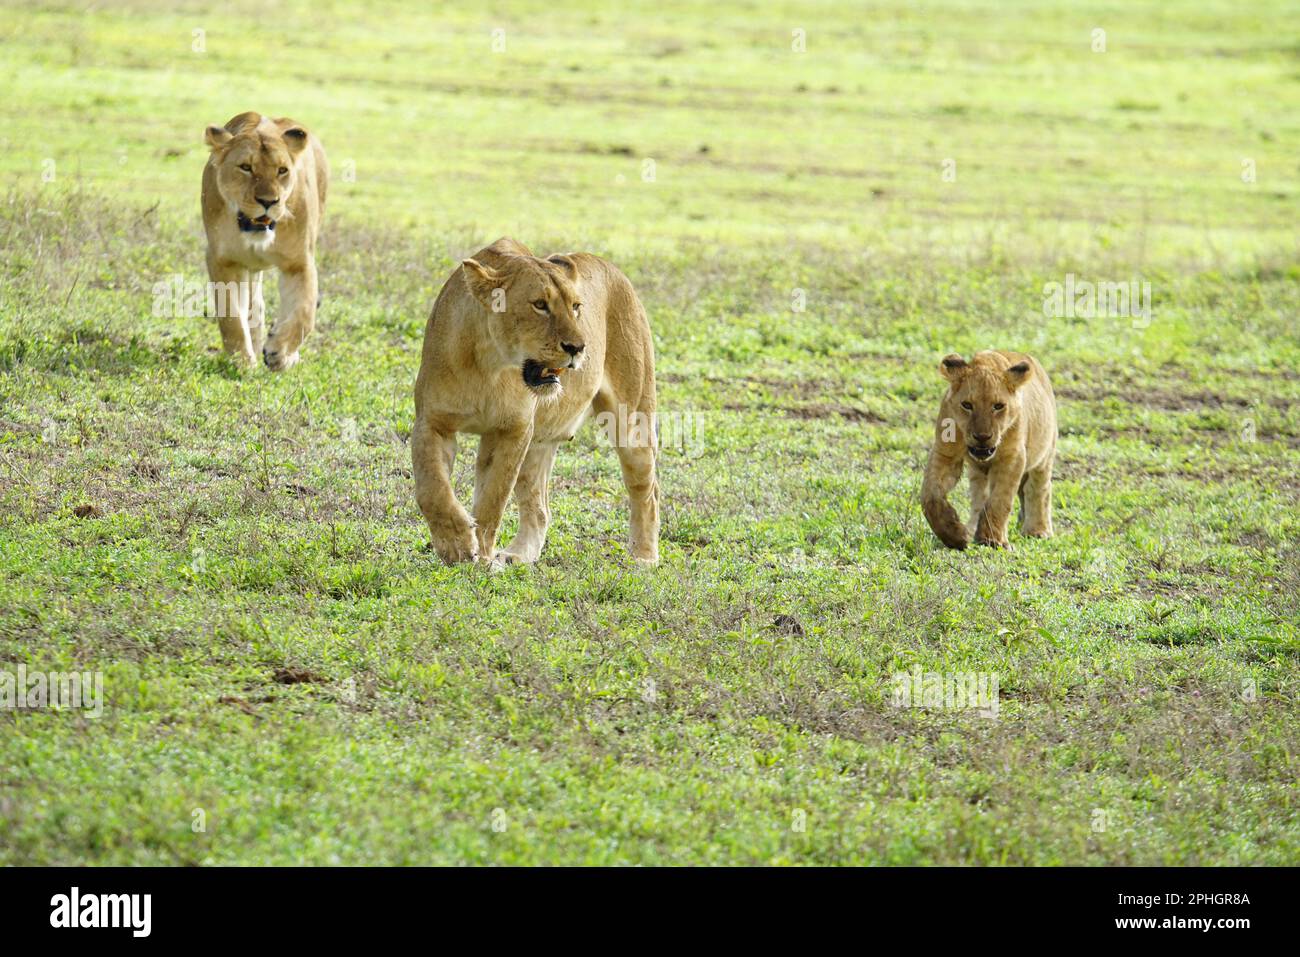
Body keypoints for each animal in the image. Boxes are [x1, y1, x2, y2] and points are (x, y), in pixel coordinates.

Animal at [201, 111, 328, 370]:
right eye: (246, 167)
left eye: (282, 170)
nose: (269, 201)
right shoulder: (222, 260)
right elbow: (230, 315)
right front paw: (242, 362)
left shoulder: (299, 262)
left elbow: (305, 313)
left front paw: (279, 353)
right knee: (253, 307)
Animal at [412, 238, 659, 567]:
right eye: (540, 305)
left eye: (576, 307)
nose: (579, 348)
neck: (488, 365)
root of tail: (613, 267)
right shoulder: (432, 422)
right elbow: (432, 489)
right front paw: (457, 545)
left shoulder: (512, 431)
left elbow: (493, 500)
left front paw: (481, 556)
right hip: (537, 444)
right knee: (539, 507)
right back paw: (519, 554)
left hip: (633, 422)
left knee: (648, 491)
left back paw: (644, 557)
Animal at [921, 350, 1057, 549]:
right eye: (967, 405)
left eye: (998, 406)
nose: (982, 437)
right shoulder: (945, 453)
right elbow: (931, 496)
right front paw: (954, 535)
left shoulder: (1013, 457)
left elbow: (1000, 500)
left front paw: (992, 540)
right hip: (978, 473)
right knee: (980, 495)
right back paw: (971, 528)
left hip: (1045, 454)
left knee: (1038, 488)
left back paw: (1038, 531)